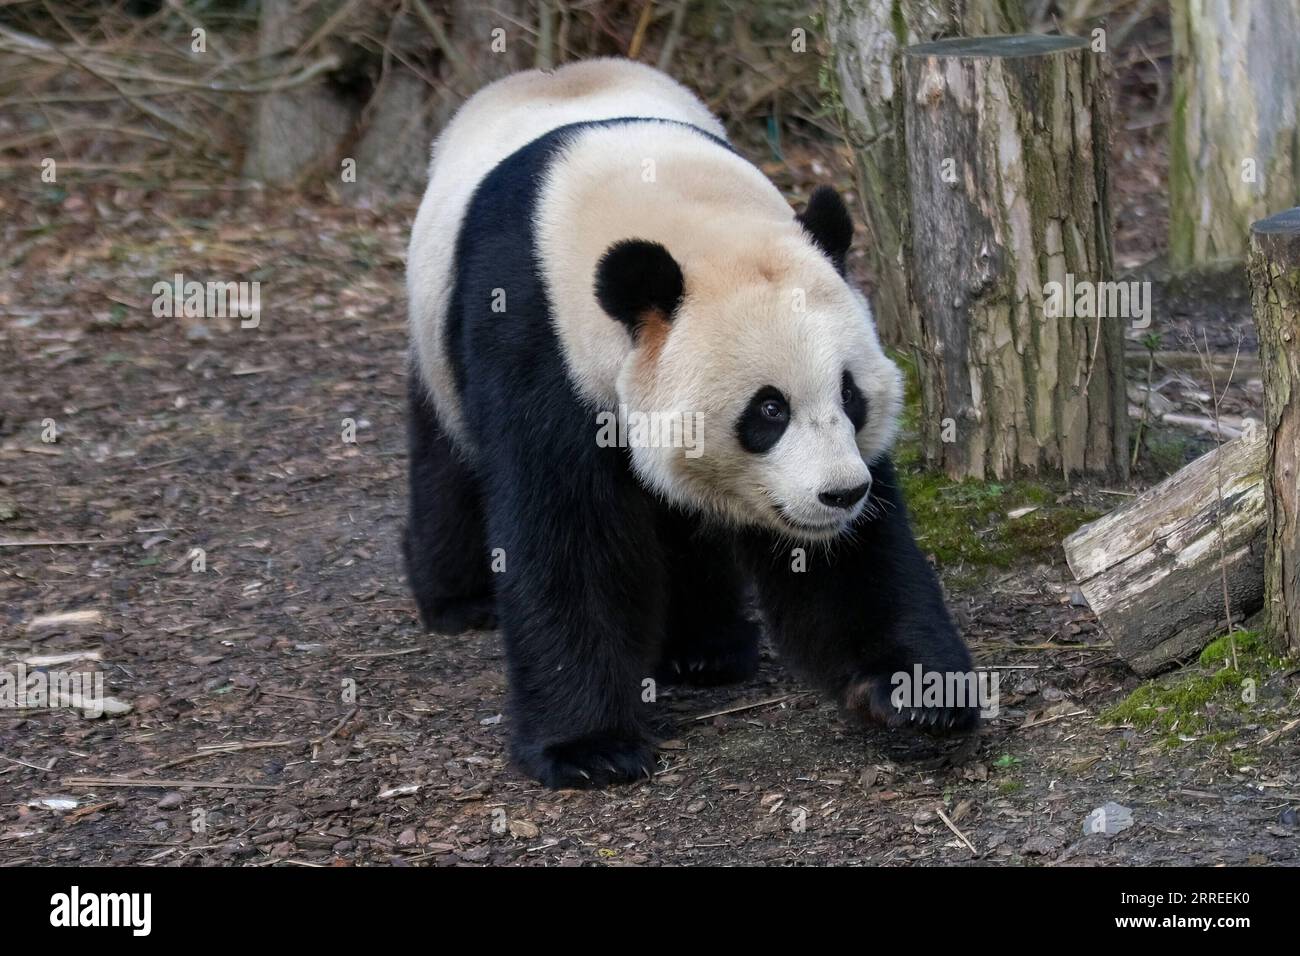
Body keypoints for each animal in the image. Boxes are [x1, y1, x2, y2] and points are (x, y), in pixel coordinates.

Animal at [406, 58, 977, 789]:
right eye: (768, 410)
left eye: (850, 396)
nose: (840, 495)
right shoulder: (534, 335)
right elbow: (563, 533)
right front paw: (589, 748)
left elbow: (854, 562)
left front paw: (916, 694)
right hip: (435, 338)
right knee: (446, 460)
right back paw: (457, 602)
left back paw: (706, 650)